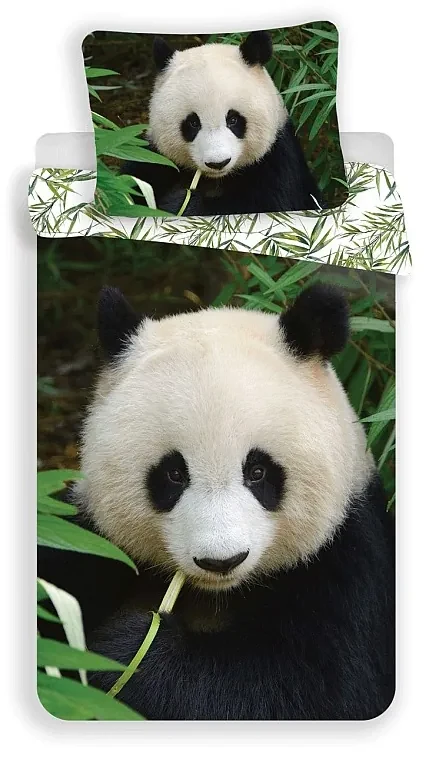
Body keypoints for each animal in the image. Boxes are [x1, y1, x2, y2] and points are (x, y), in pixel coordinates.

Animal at [38, 283, 395, 721]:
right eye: (174, 474)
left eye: (257, 471)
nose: (221, 561)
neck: (215, 593)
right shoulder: (90, 538)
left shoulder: (348, 561)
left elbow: (308, 688)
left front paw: (129, 651)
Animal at [121, 31, 322, 216]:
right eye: (193, 123)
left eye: (233, 119)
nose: (218, 163)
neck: (215, 179)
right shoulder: (153, 157)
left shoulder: (277, 161)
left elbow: (265, 205)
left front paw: (182, 202)